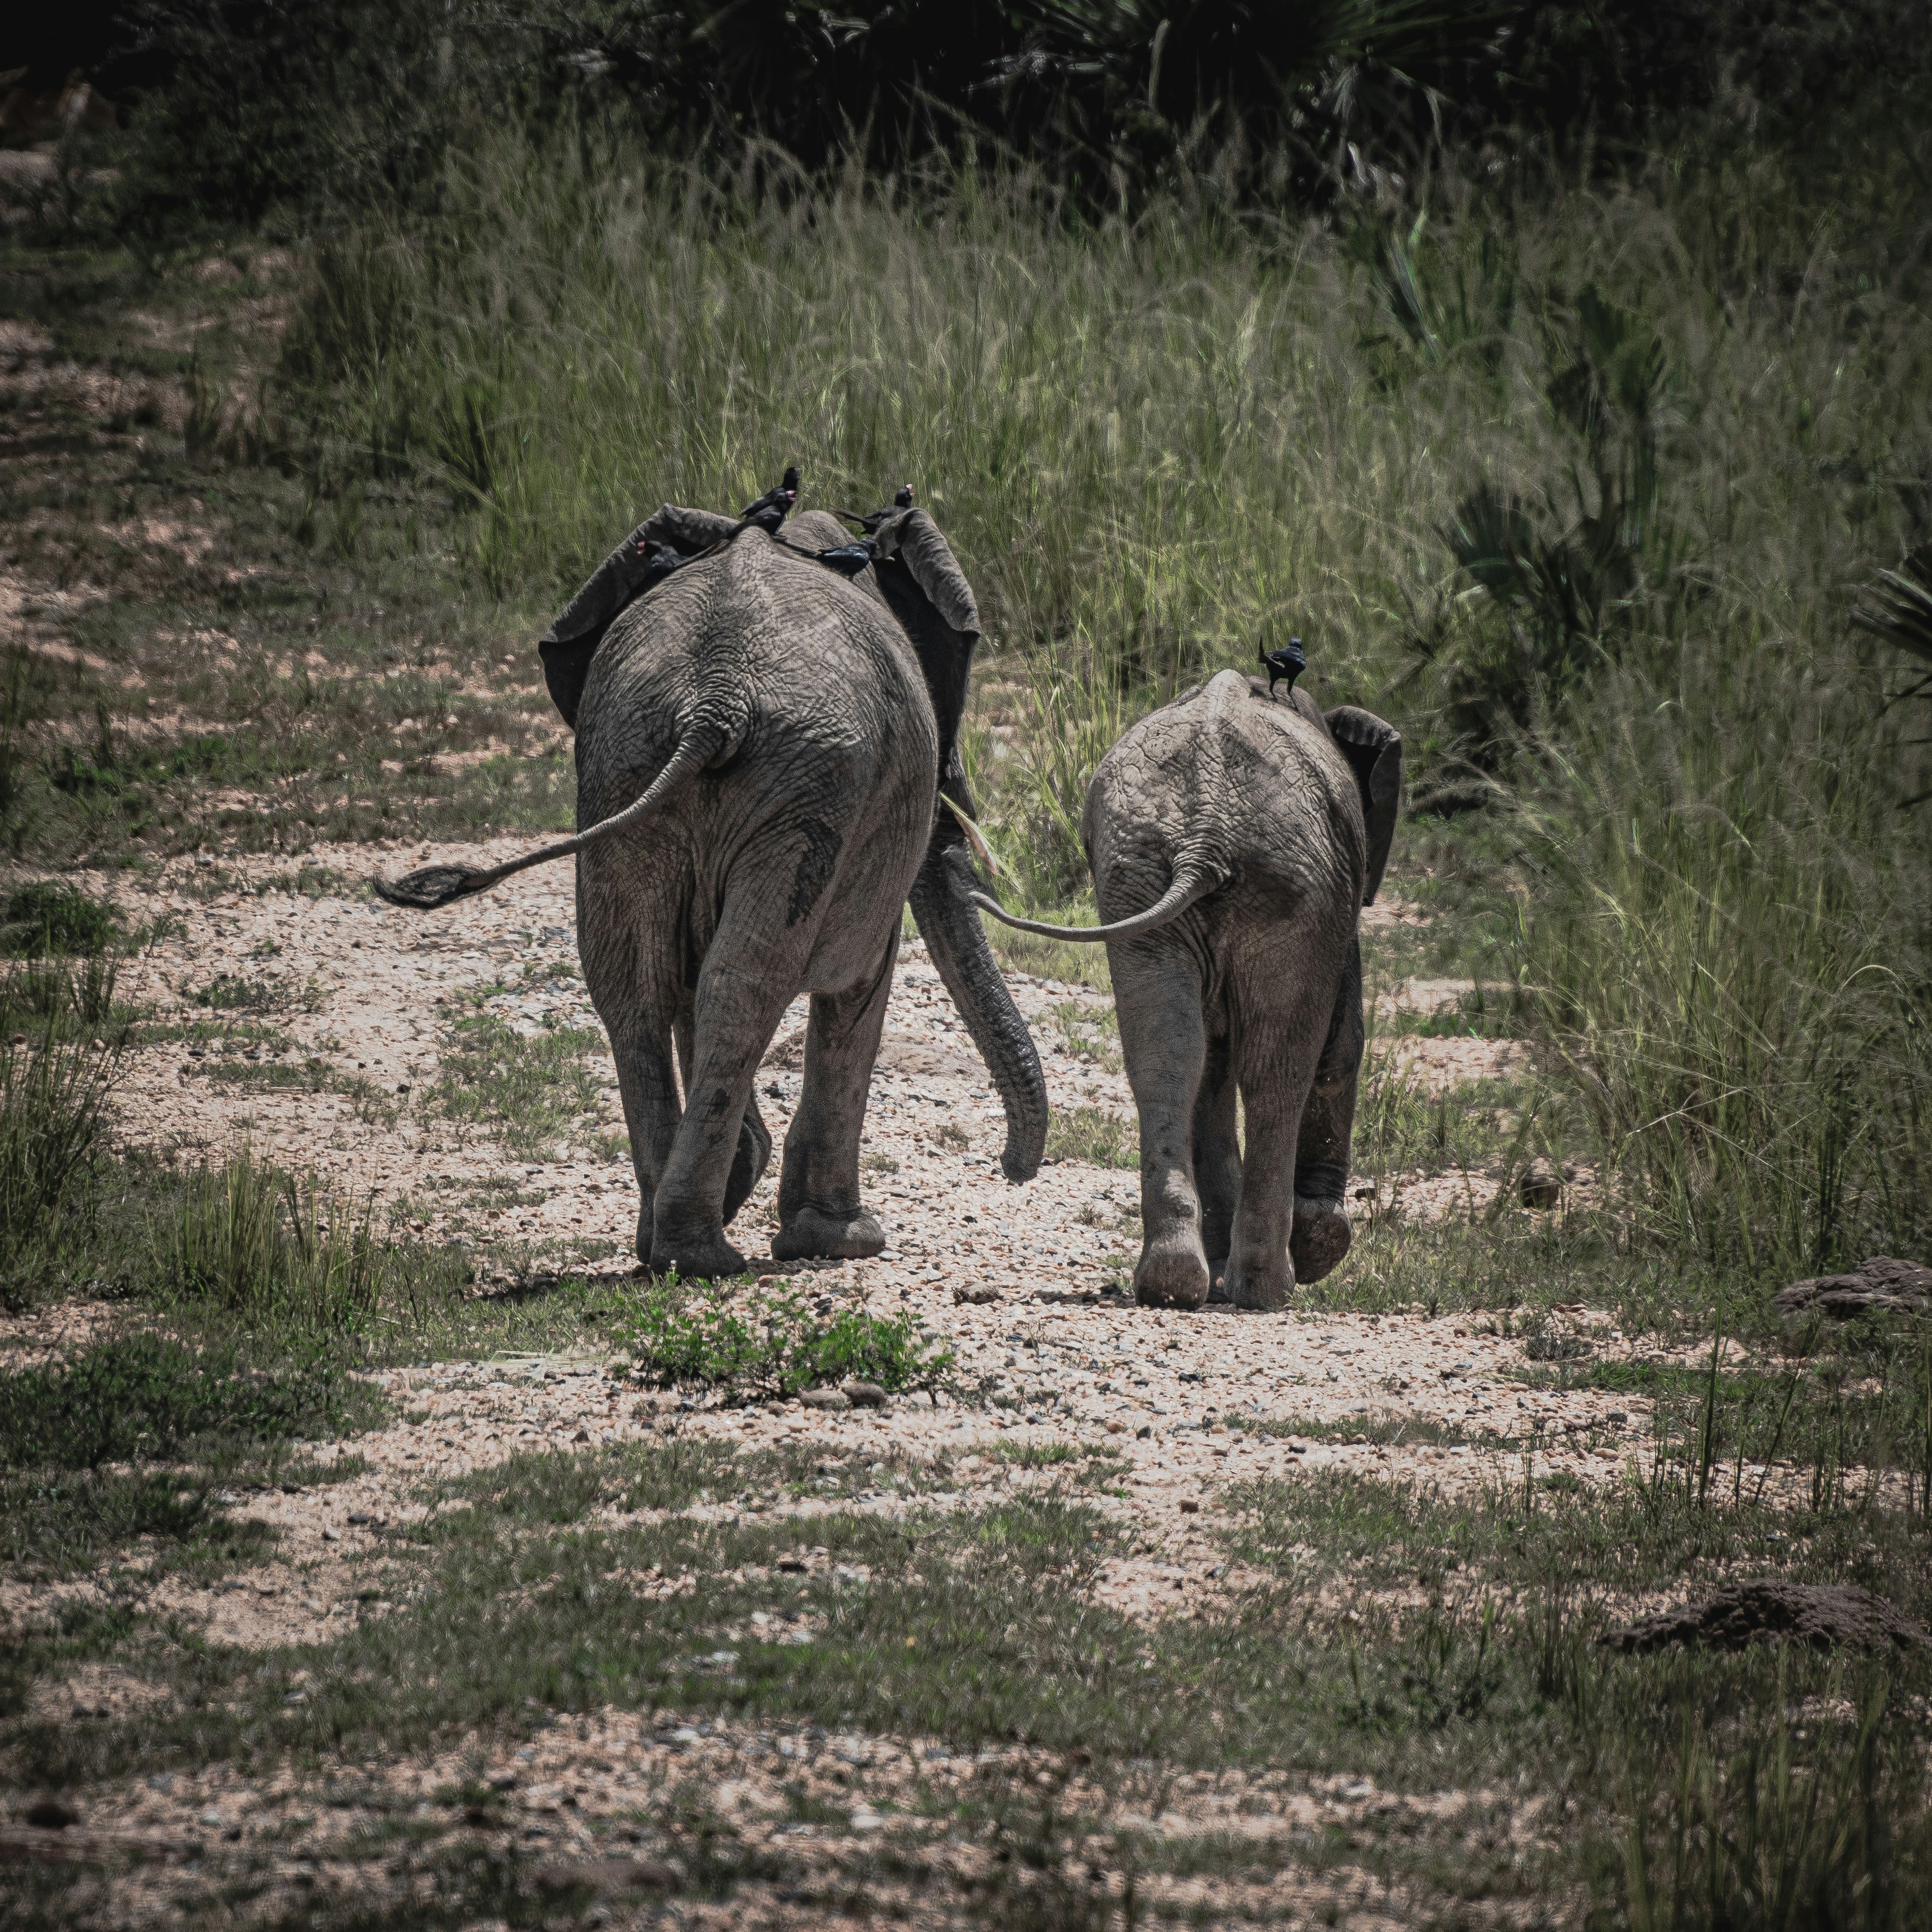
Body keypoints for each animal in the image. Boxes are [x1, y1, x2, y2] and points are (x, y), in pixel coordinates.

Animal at [374, 494, 1048, 1279]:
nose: (1011, 1170)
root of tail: (714, 703)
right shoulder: (867, 816)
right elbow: (858, 978)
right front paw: (841, 1240)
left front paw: (751, 1178)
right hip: (807, 784)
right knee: (744, 984)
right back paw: (706, 1252)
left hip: (630, 765)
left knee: (639, 985)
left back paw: (667, 1242)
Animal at [970, 667, 1400, 1312]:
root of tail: (1206, 832)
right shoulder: (1338, 909)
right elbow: (1341, 1040)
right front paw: (1320, 1245)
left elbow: (1205, 1057)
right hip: (1293, 883)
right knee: (1277, 1069)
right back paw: (1267, 1290)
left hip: (1140, 875)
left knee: (1170, 1054)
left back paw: (1173, 1283)